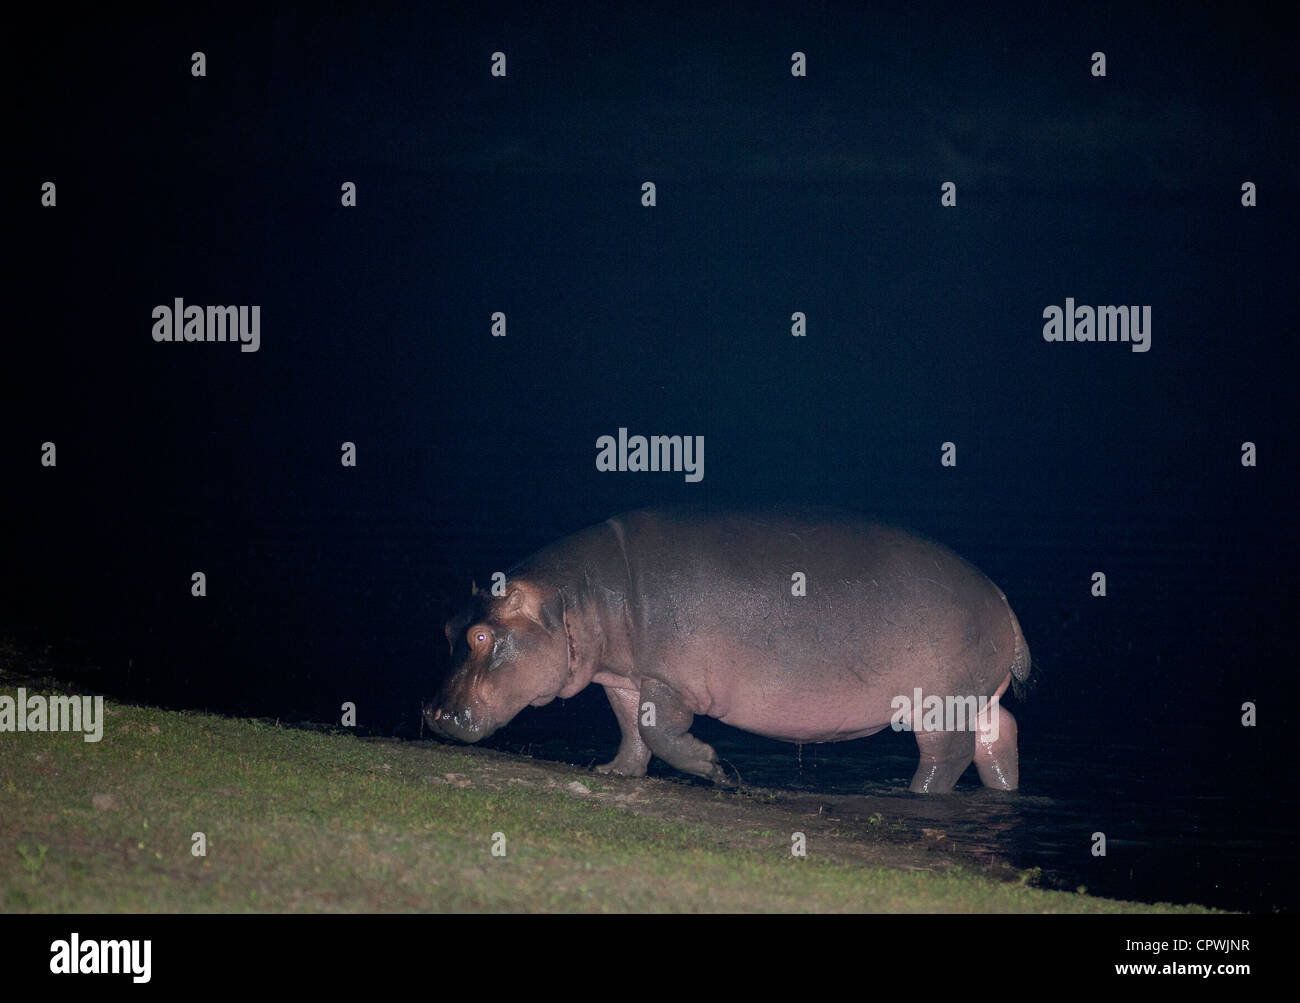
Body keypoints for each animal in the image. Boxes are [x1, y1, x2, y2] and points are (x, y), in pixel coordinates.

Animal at [425, 508, 1031, 793]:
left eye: (482, 637)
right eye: (450, 628)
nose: (432, 714)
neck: (576, 596)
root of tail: (1002, 599)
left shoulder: (667, 679)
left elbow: (659, 731)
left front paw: (720, 771)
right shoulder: (622, 675)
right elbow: (630, 730)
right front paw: (613, 772)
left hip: (936, 701)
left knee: (946, 754)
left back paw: (915, 792)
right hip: (974, 696)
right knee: (999, 733)